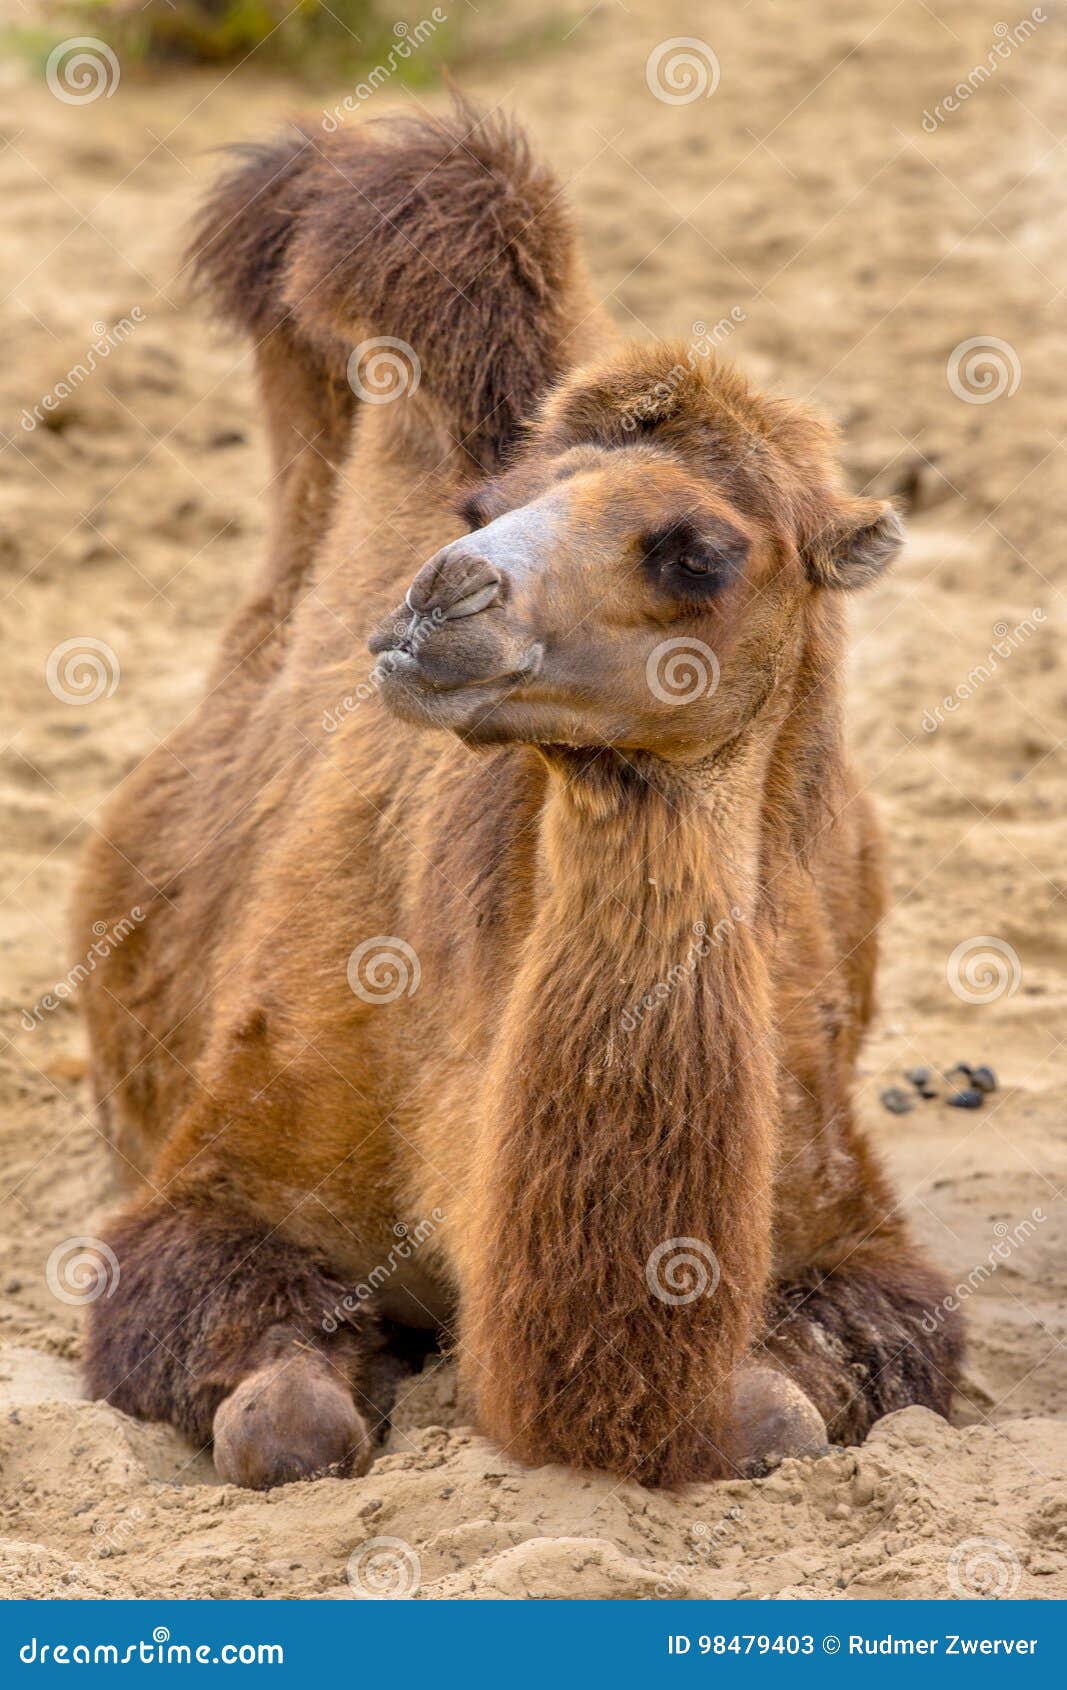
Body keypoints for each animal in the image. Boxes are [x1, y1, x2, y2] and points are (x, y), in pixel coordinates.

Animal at [75, 102, 962, 1490]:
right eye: (486, 502)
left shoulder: (842, 1216)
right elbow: (282, 1420)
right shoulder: (222, 1179)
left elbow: (782, 1412)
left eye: (696, 550)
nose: (439, 593)